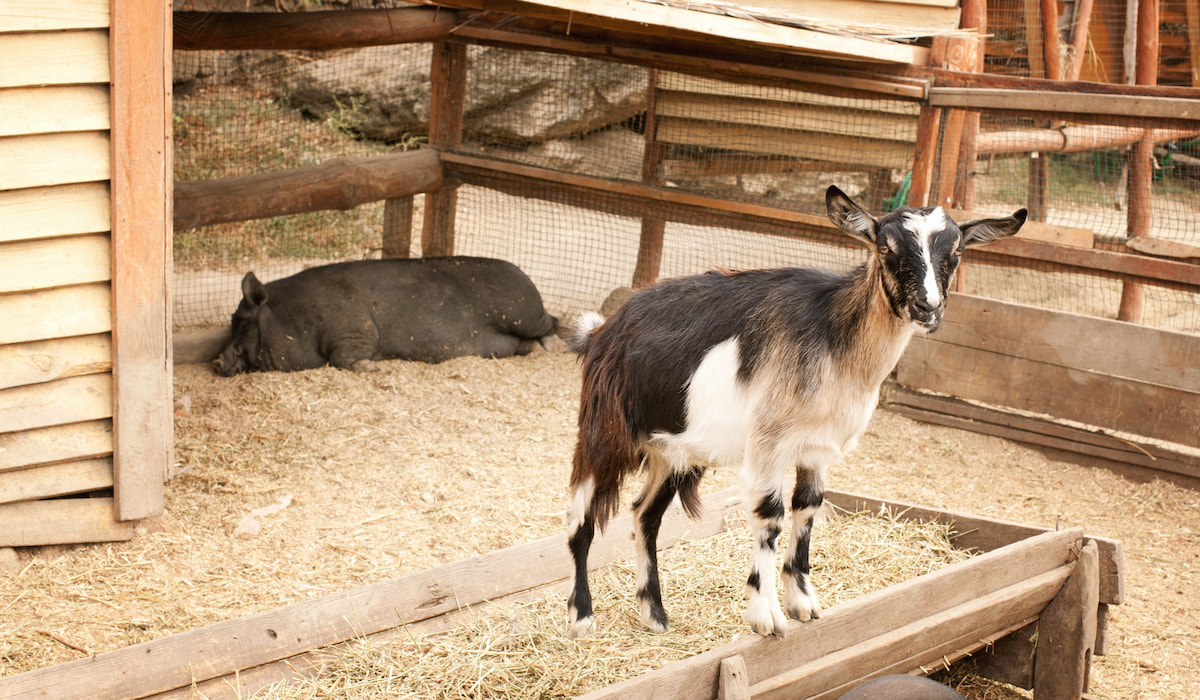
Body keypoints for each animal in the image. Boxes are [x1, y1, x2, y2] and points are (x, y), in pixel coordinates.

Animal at [215, 256, 562, 376]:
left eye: (241, 322)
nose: (217, 362)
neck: (293, 317)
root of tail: (524, 273)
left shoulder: (357, 330)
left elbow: (341, 358)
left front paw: (375, 368)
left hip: (523, 312)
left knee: (553, 321)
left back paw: (559, 347)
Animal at [565, 185, 1026, 638]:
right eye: (885, 248)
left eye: (957, 252)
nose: (927, 307)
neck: (836, 338)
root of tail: (602, 331)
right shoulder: (770, 441)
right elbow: (771, 516)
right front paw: (765, 616)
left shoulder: (817, 449)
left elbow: (808, 508)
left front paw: (803, 603)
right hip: (605, 431)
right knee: (580, 518)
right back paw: (582, 617)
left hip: (674, 450)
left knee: (644, 516)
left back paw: (655, 613)